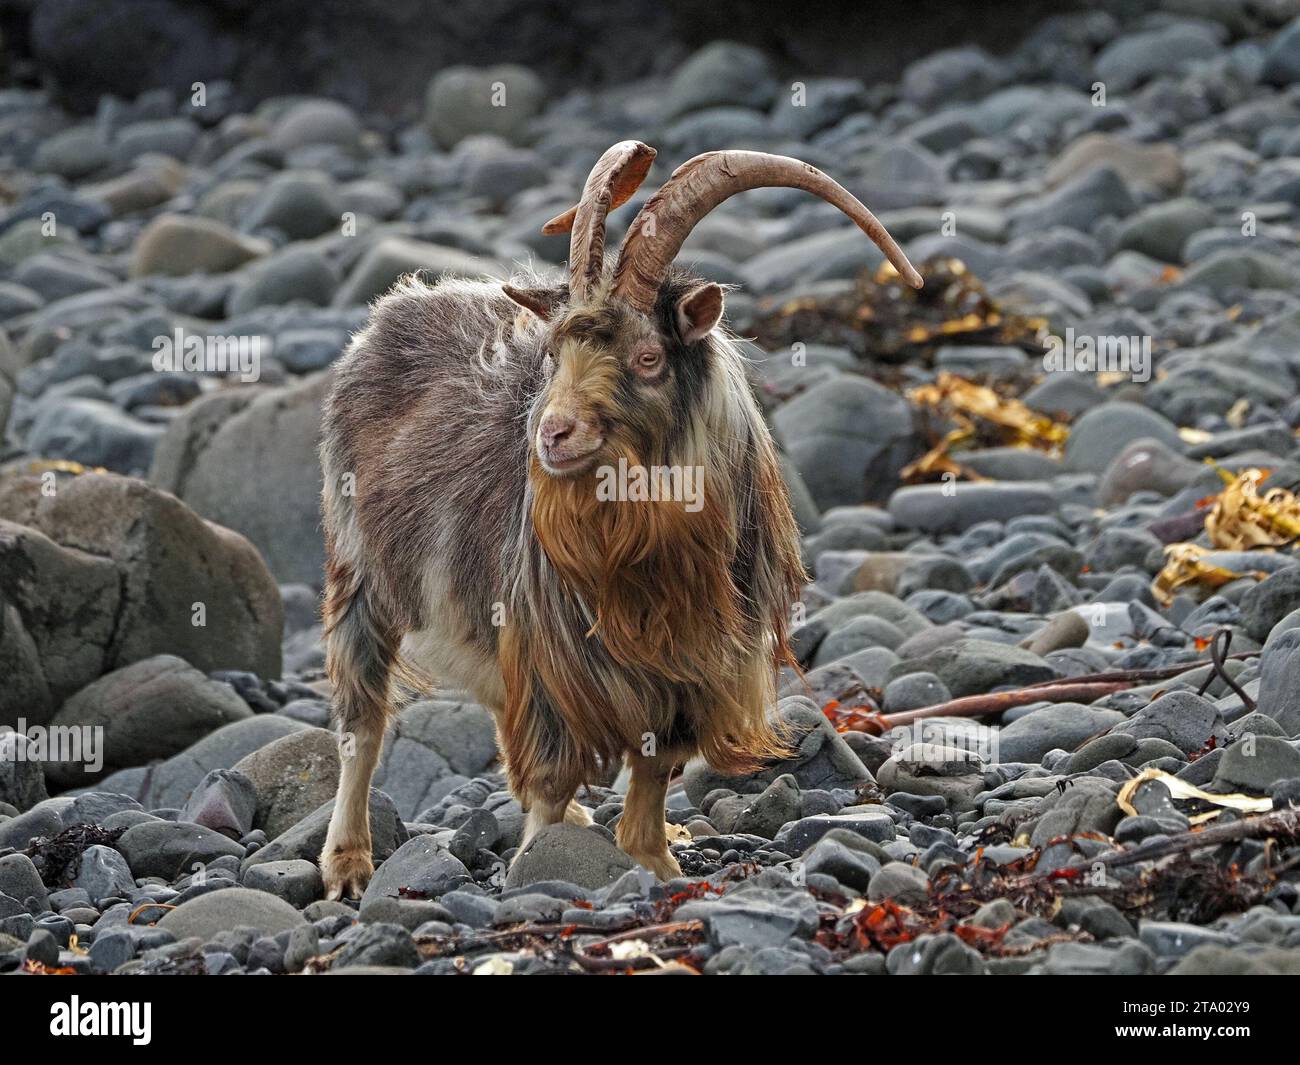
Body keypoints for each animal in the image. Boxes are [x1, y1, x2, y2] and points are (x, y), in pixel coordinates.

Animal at [317, 141, 922, 899]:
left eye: (648, 356)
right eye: (554, 354)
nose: (552, 435)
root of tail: (390, 311)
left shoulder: (694, 666)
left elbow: (655, 765)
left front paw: (653, 854)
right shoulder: (552, 649)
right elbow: (551, 765)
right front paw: (538, 859)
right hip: (359, 573)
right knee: (361, 724)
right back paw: (348, 863)